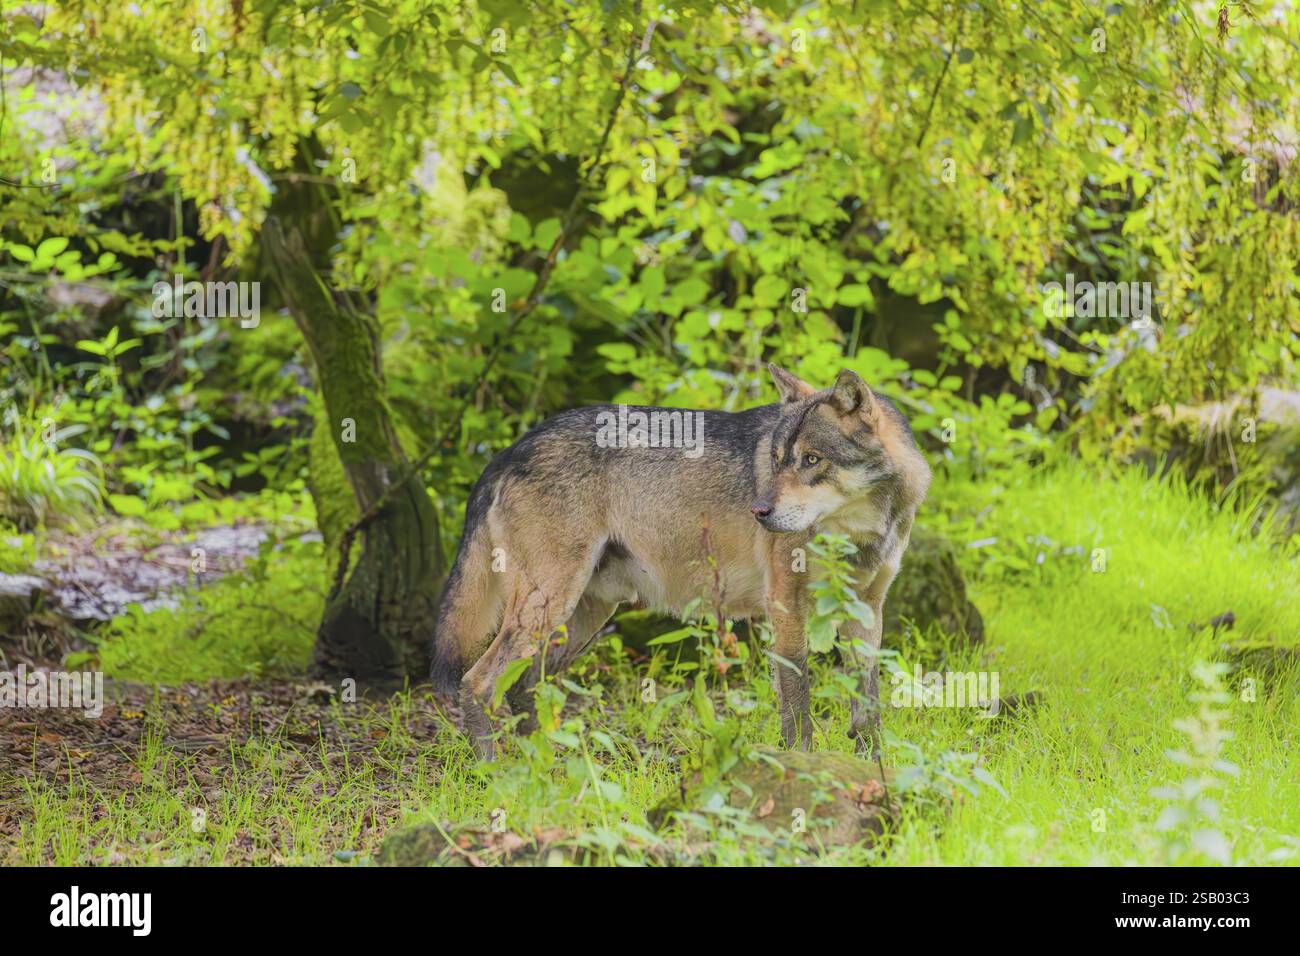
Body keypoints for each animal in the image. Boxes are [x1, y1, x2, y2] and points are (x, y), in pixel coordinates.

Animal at [431, 365, 932, 759]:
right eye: (776, 460)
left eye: (812, 460)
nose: (759, 510)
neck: (859, 533)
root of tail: (509, 449)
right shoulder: (786, 606)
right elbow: (797, 705)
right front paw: (803, 767)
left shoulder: (866, 608)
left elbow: (868, 706)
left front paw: (873, 770)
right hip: (549, 606)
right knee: (477, 683)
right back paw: (497, 774)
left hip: (579, 620)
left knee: (521, 689)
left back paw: (547, 772)